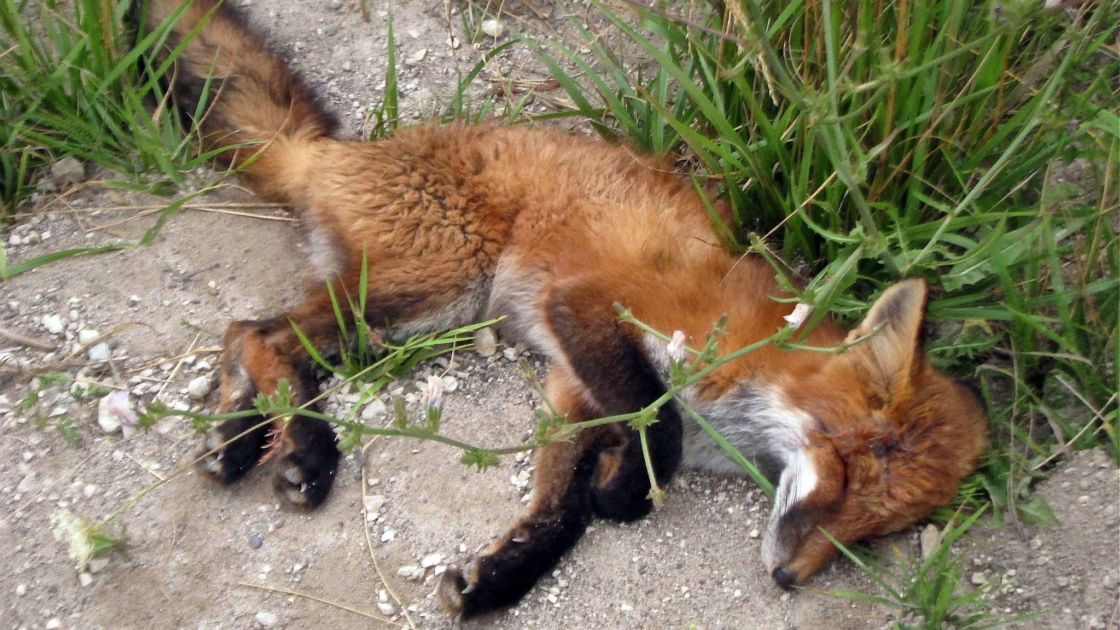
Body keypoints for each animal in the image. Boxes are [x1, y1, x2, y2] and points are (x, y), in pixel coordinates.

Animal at [142, 0, 989, 619]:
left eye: (875, 532)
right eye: (845, 477)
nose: (789, 581)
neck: (749, 380)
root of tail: (337, 151)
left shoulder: (572, 388)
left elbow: (557, 514)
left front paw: (495, 580)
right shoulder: (586, 309)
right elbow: (657, 427)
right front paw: (623, 491)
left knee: (247, 337)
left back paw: (237, 443)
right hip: (435, 294)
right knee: (262, 335)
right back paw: (308, 453)